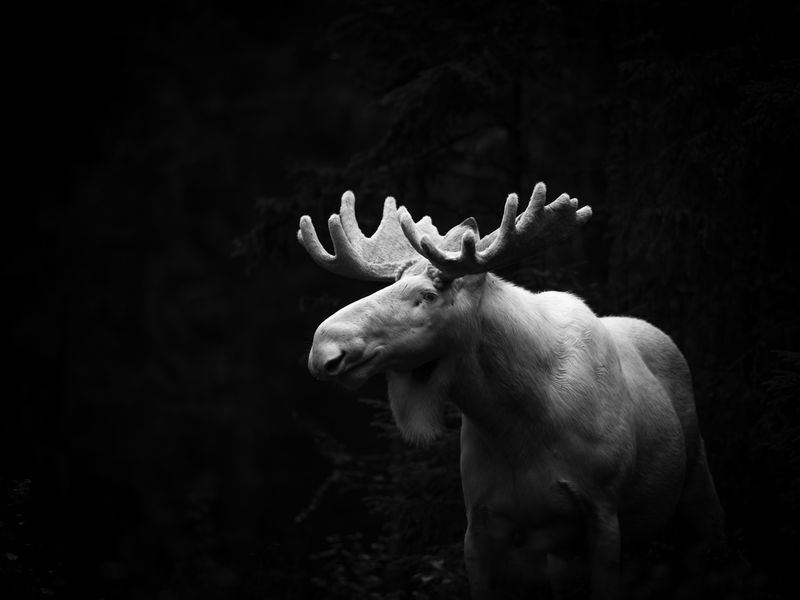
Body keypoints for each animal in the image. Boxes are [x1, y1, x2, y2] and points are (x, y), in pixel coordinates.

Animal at [297, 183, 726, 599]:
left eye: (428, 296)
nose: (323, 348)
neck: (516, 424)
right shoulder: (480, 525)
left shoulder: (604, 510)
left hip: (697, 495)